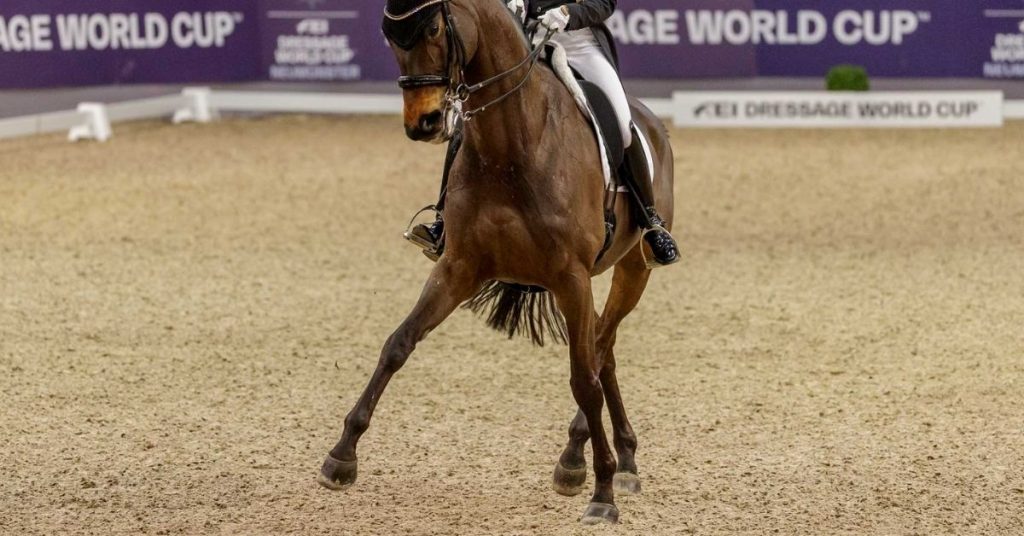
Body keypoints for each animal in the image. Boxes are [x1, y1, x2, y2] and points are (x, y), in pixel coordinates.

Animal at [318, 0, 676, 525]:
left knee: (600, 349)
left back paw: (592, 462)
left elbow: (582, 380)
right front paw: (341, 456)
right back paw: (611, 459)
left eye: (432, 27)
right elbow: (398, 345)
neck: (513, 143)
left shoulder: (571, 277)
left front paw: (602, 493)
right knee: (603, 351)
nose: (423, 123)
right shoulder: (459, 266)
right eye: (388, 38)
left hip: (633, 268)